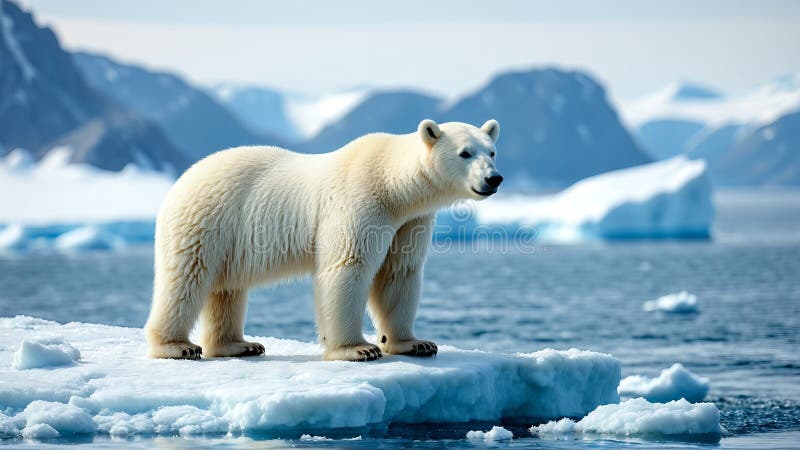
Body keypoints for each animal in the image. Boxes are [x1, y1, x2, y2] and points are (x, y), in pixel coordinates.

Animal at [144, 119, 503, 361]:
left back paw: (239, 344)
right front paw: (359, 349)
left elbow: (399, 272)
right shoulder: (360, 201)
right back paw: (177, 346)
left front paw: (415, 343)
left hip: (231, 238)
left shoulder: (410, 221)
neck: (393, 185)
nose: (494, 178)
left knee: (227, 289)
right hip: (207, 220)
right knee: (187, 277)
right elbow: (348, 266)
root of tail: (182, 179)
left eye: (492, 151)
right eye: (465, 153)